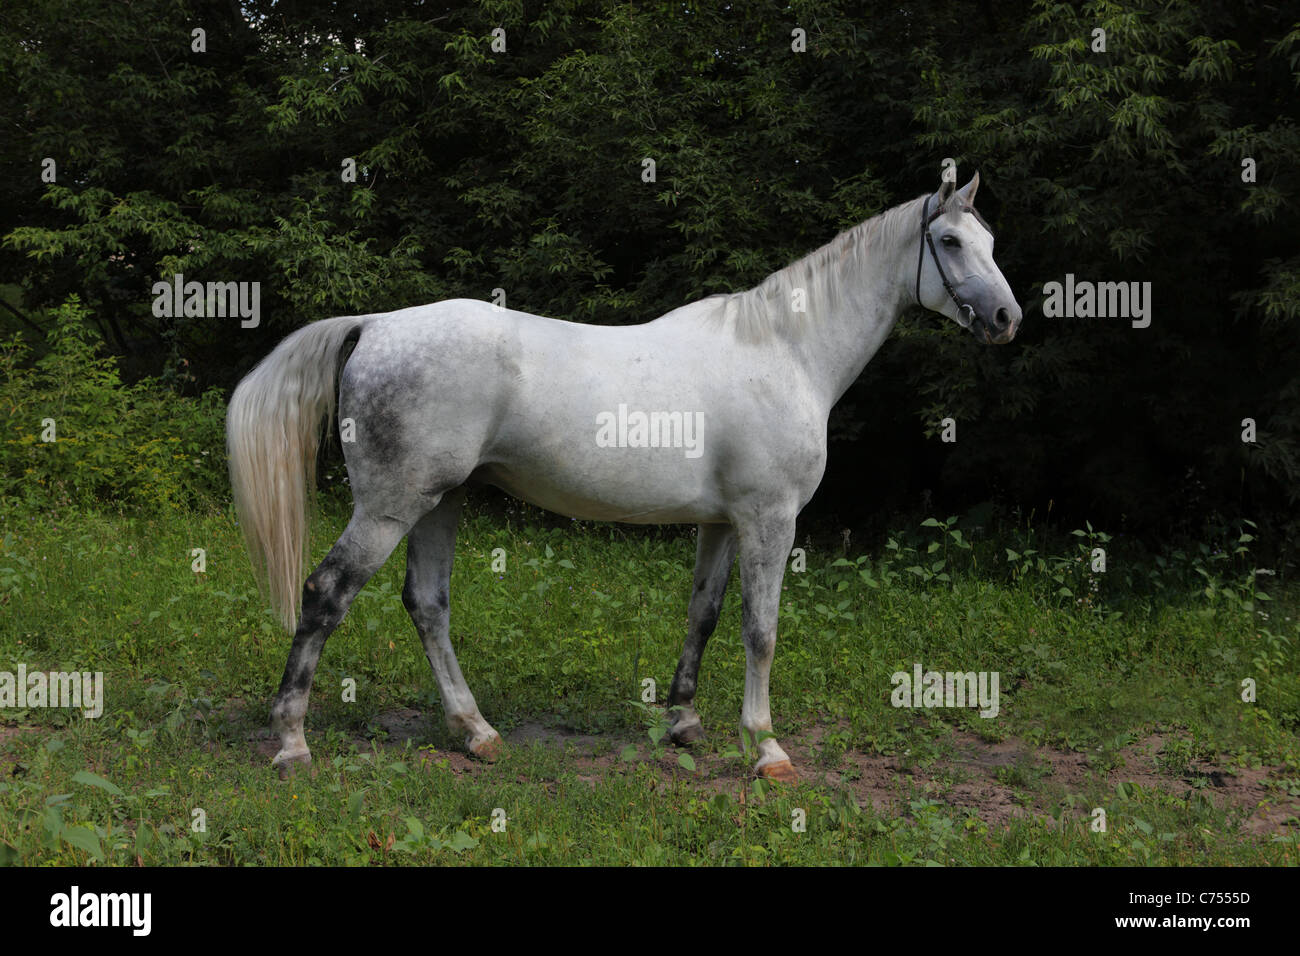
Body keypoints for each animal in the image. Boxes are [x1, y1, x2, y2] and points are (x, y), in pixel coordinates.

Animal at [226, 171, 1022, 781]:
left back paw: (476, 732)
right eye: (950, 242)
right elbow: (760, 630)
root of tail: (376, 324)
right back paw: (293, 742)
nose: (1007, 317)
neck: (785, 350)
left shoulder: (721, 524)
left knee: (427, 605)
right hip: (390, 507)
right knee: (325, 594)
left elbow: (703, 614)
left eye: (989, 242)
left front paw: (684, 722)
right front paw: (766, 749)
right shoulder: (770, 520)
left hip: (438, 503)